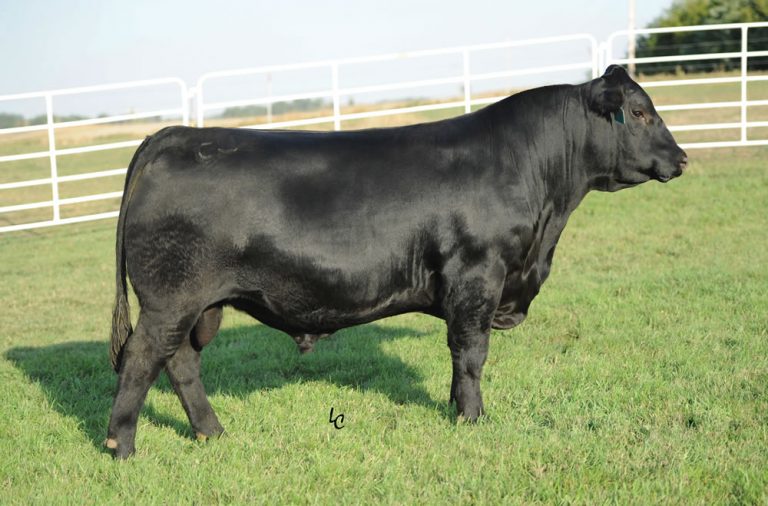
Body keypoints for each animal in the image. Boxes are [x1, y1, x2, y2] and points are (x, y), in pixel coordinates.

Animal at [105, 65, 687, 458]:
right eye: (639, 112)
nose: (681, 158)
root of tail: (174, 134)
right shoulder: (477, 276)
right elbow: (470, 354)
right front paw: (472, 419)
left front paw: (457, 411)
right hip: (171, 298)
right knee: (142, 358)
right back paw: (121, 446)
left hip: (194, 304)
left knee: (180, 363)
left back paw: (212, 433)